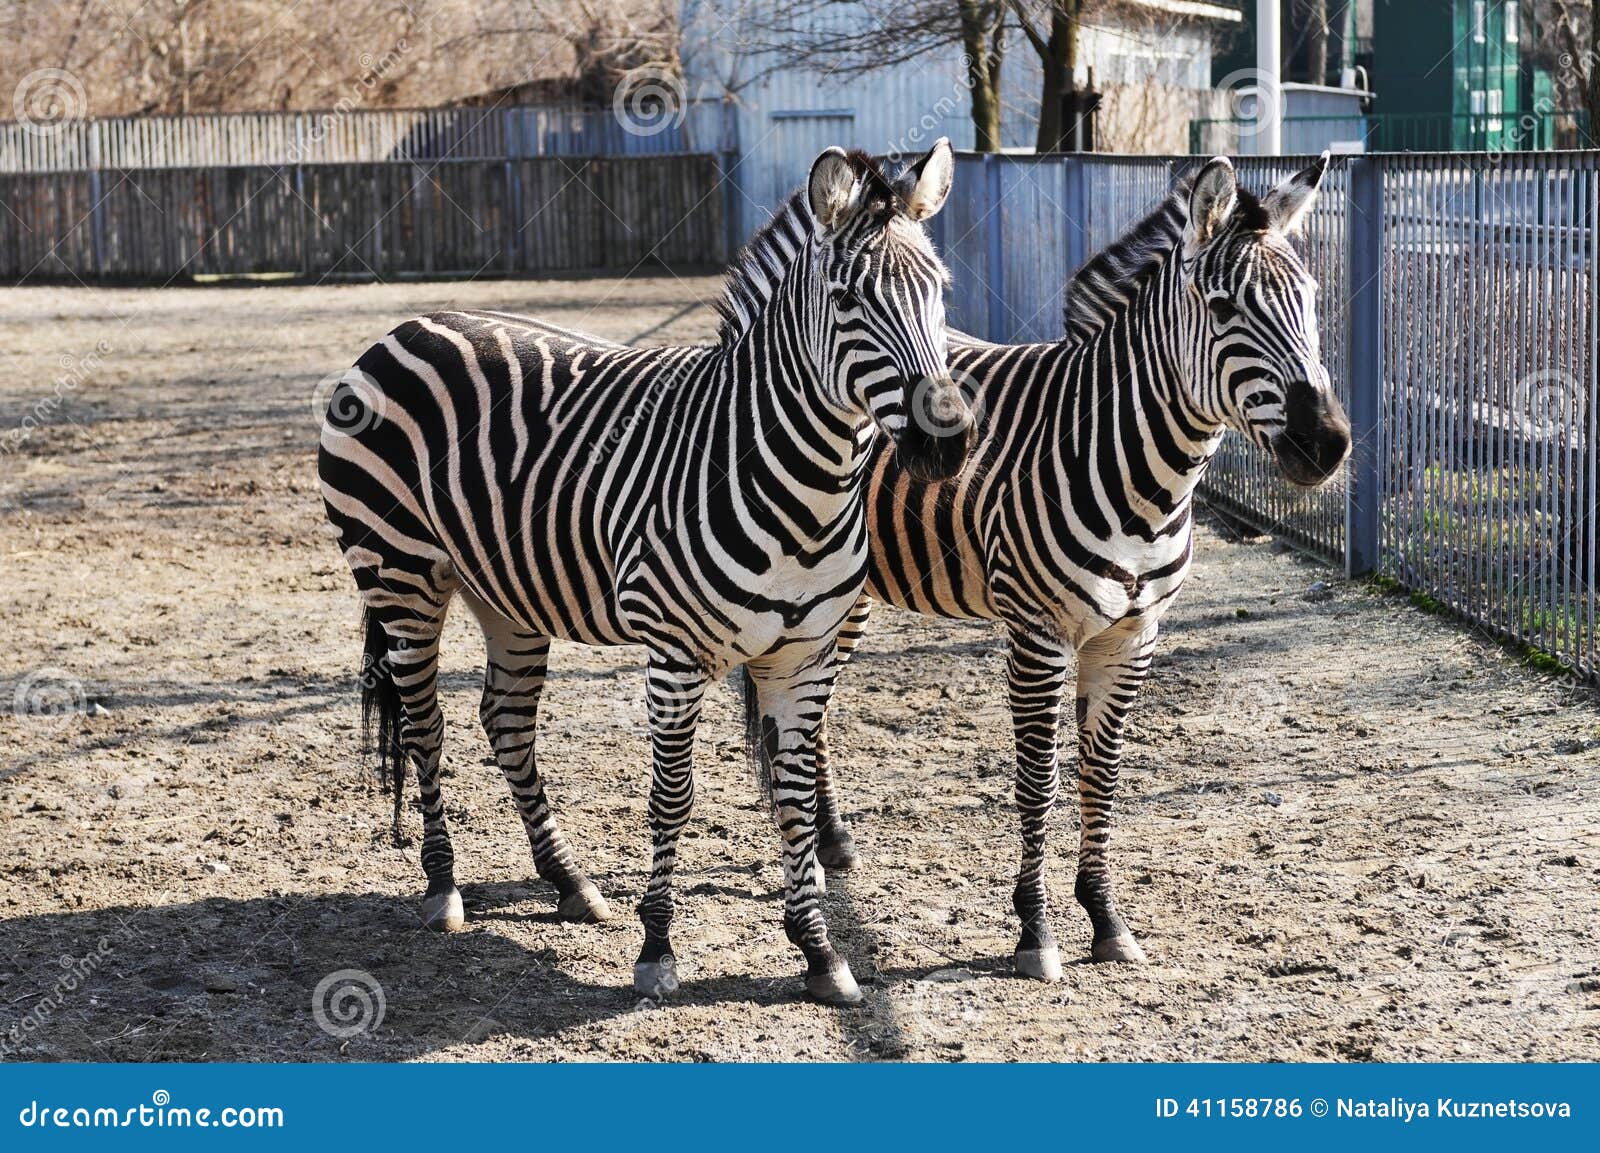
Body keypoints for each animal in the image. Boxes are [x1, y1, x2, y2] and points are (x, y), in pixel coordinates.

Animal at [317, 141, 976, 1006]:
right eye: (848, 300)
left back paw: (568, 881)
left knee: (506, 720)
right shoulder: (676, 654)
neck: (800, 482)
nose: (948, 440)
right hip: (401, 574)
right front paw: (658, 947)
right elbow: (673, 796)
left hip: (506, 592)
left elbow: (794, 797)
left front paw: (818, 950)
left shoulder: (805, 656)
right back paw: (444, 887)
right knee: (427, 724)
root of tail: (407, 324)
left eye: (940, 292)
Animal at [805, 155, 1351, 981]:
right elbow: (1040, 778)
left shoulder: (1133, 636)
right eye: (1224, 307)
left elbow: (1104, 772)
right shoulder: (1037, 635)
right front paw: (1034, 928)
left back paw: (827, 835)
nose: (1328, 442)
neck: (1141, 473)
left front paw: (1104, 916)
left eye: (1313, 299)